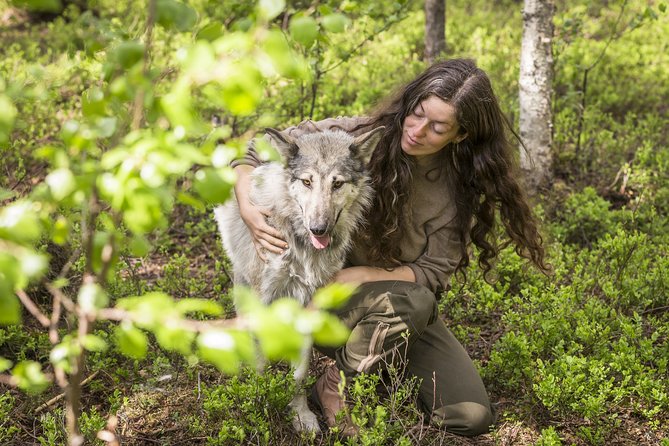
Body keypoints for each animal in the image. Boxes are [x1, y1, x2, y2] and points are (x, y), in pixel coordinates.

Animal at [214, 126, 384, 433]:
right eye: (307, 182)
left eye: (337, 184)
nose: (318, 228)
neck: (301, 245)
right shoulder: (262, 300)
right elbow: (260, 367)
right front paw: (260, 409)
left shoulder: (309, 305)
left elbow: (300, 374)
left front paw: (300, 415)